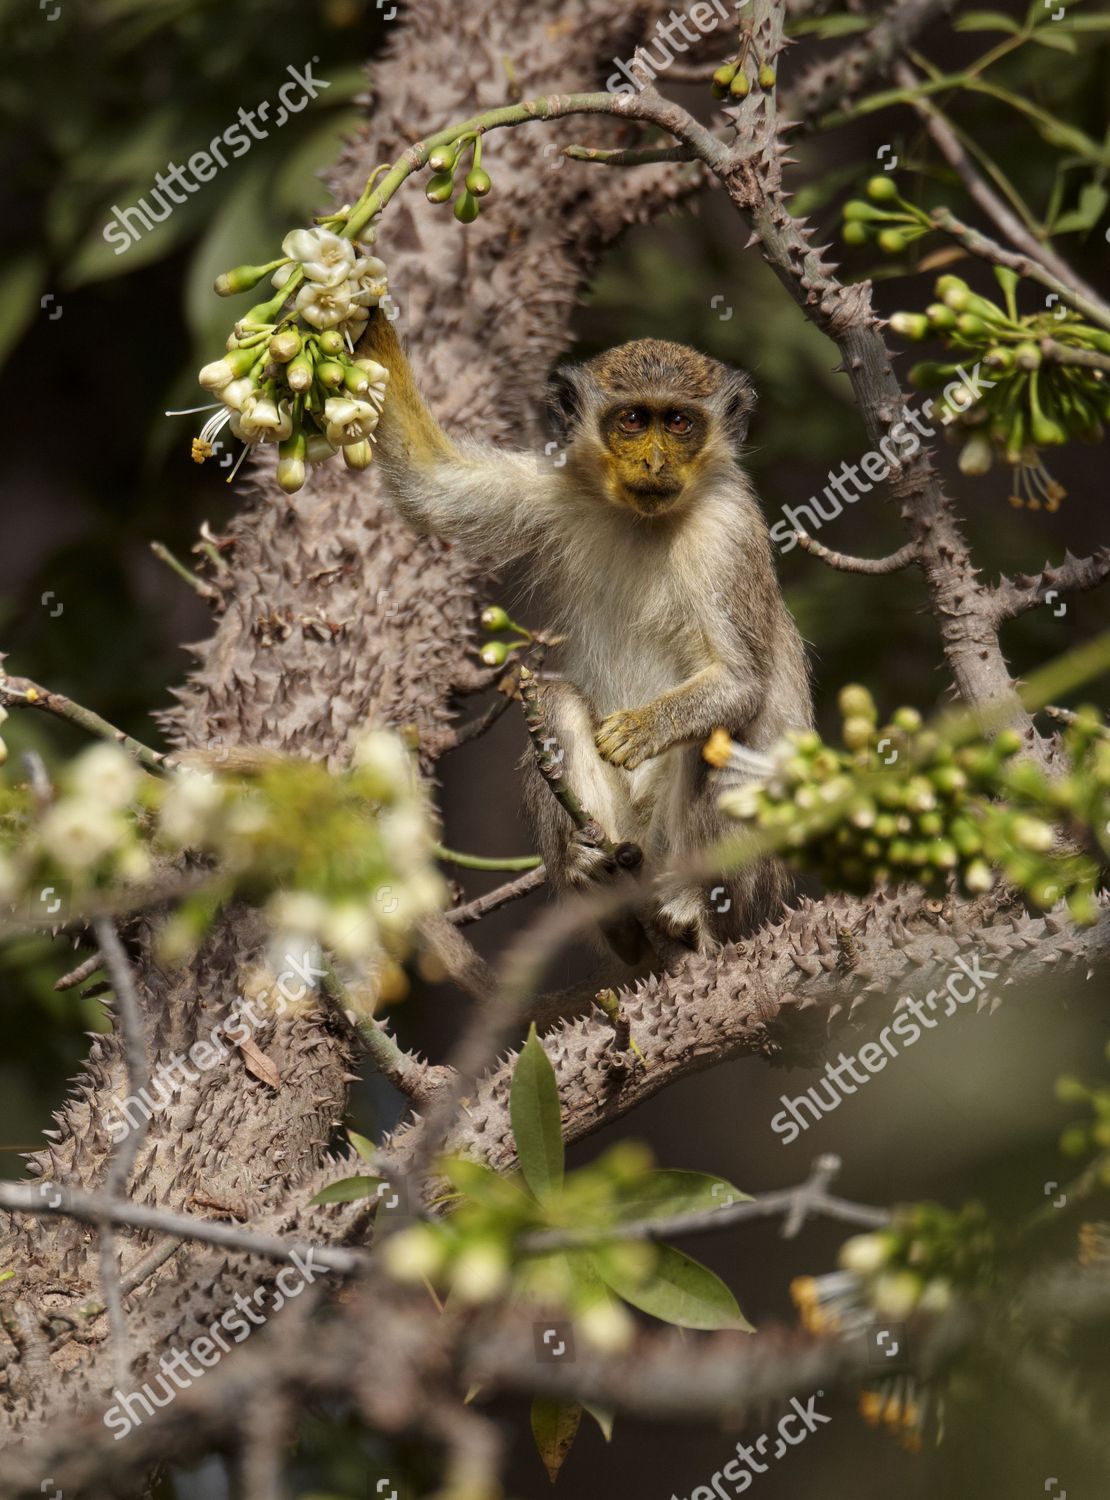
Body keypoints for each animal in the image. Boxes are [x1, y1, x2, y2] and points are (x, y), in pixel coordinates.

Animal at [357, 313, 813, 959]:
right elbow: (432, 486)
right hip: (628, 841)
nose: (654, 464)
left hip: (745, 879)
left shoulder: (730, 534)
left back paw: (692, 910)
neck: (644, 520)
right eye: (632, 420)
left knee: (719, 735)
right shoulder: (556, 486)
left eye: (679, 422)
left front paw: (642, 728)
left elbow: (741, 681)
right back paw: (592, 875)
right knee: (554, 699)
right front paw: (367, 320)